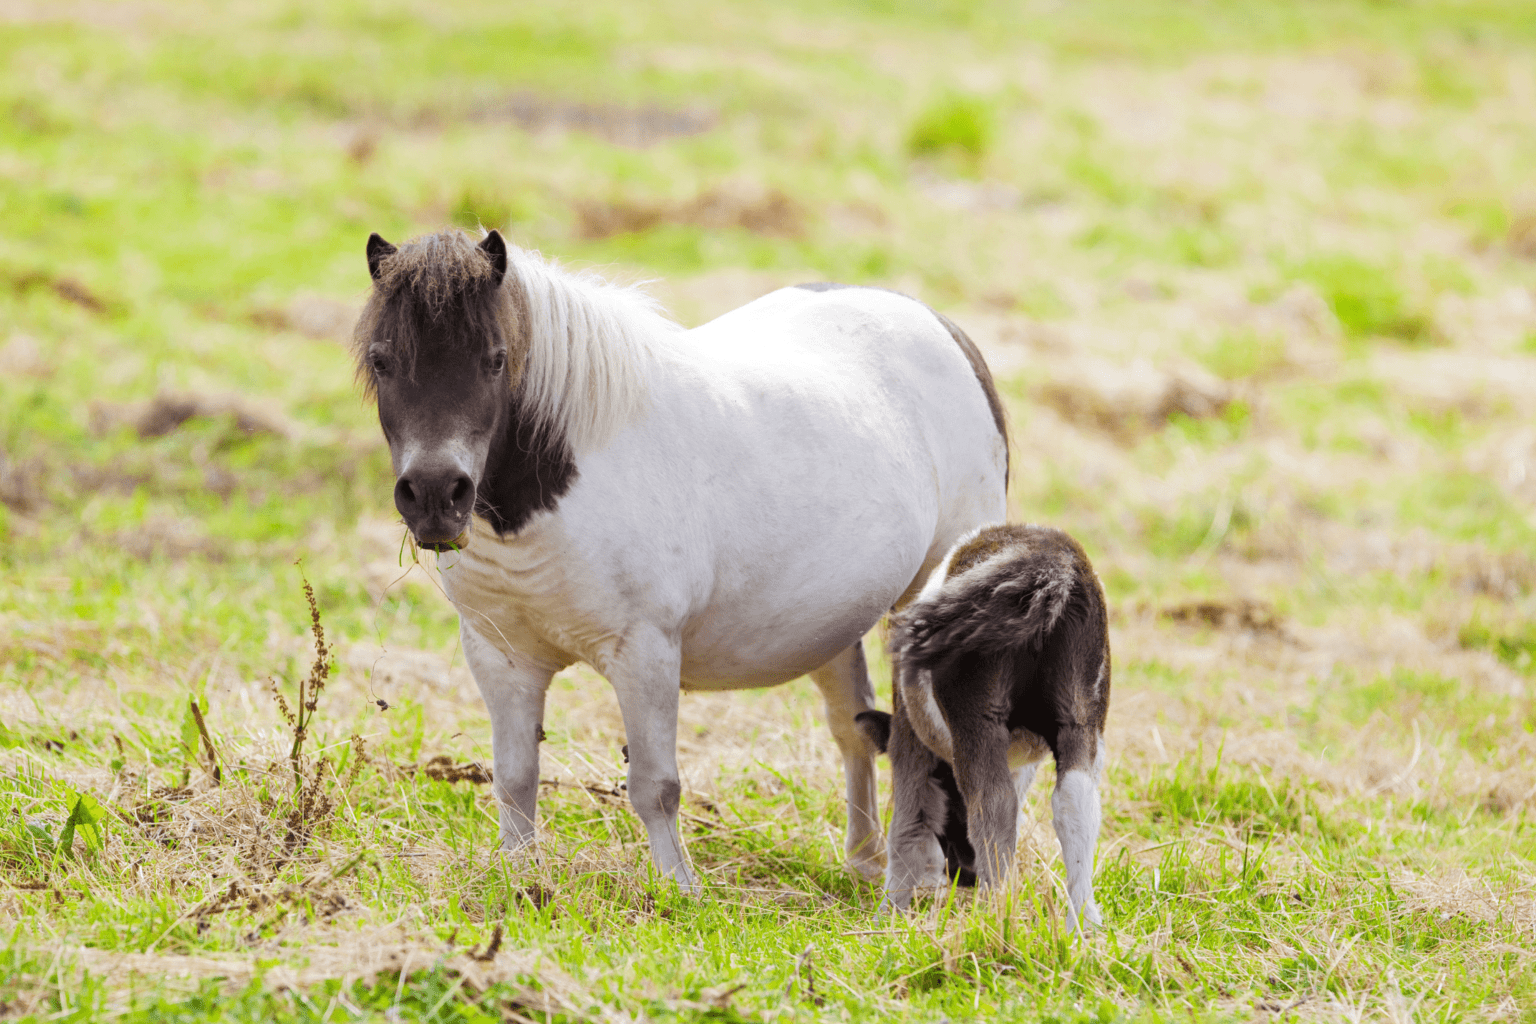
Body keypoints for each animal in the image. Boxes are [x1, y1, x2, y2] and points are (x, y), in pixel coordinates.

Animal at [353, 227, 1009, 890]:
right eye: (382, 361)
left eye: (495, 358)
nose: (435, 496)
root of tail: (939, 325)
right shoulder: (501, 657)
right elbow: (515, 781)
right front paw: (520, 881)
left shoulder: (645, 652)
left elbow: (655, 787)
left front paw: (680, 888)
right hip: (836, 620)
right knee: (855, 730)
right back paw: (866, 861)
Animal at [859, 523, 1109, 930]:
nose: (966, 876)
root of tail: (1051, 564)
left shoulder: (908, 736)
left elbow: (908, 822)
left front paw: (889, 914)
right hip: (1082, 710)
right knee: (1074, 800)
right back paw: (1084, 922)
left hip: (975, 707)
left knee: (994, 802)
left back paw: (996, 913)